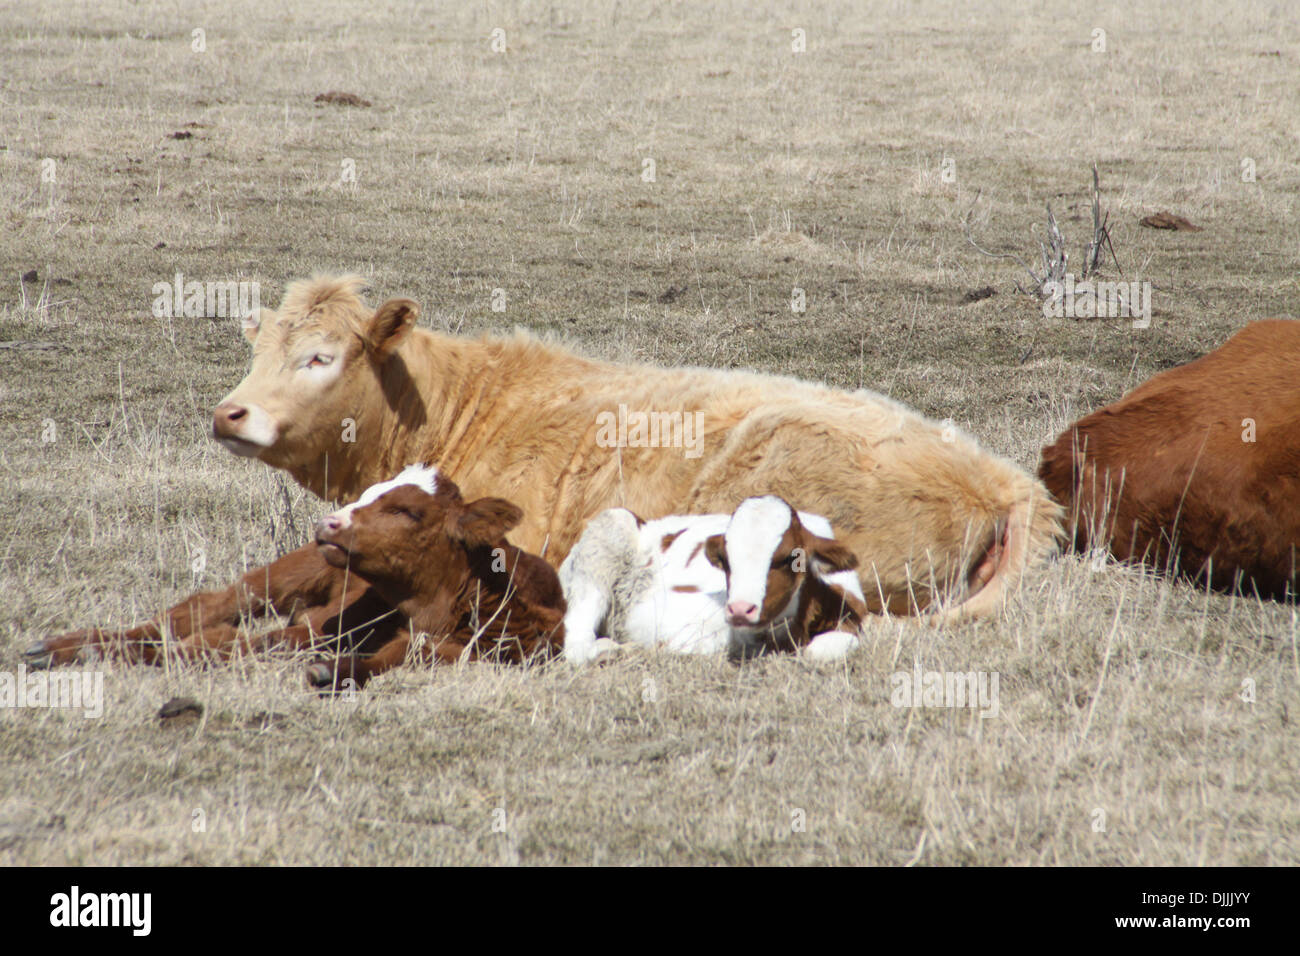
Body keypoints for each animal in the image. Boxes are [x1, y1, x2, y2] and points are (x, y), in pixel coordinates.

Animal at [26, 465, 565, 688]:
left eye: (409, 511)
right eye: (369, 492)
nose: (329, 523)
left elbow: (406, 654)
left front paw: (339, 672)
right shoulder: (319, 628)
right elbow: (238, 644)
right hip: (286, 573)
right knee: (201, 609)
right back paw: (68, 647)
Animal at [560, 496, 868, 663]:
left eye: (789, 559)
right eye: (726, 561)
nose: (740, 609)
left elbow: (822, 648)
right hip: (609, 529)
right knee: (576, 639)